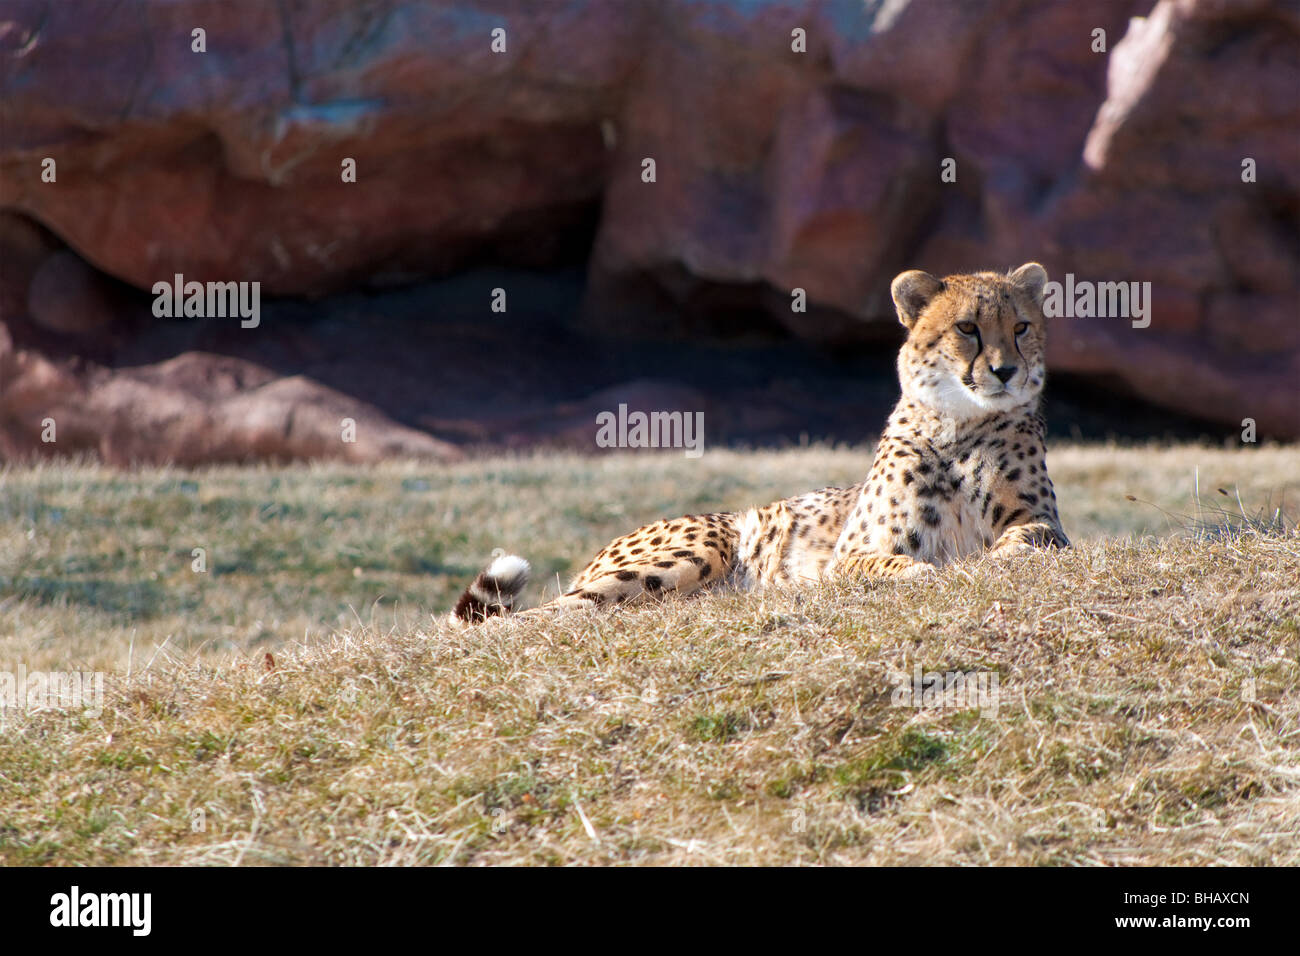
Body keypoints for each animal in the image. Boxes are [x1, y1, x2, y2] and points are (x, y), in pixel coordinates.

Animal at [449, 262, 1069, 625]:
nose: (1007, 371)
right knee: (538, 616)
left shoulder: (1043, 525)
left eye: (1021, 327)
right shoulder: (849, 556)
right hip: (695, 552)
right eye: (967, 328)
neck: (962, 427)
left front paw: (996, 562)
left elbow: (1029, 541)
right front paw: (926, 572)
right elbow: (889, 564)